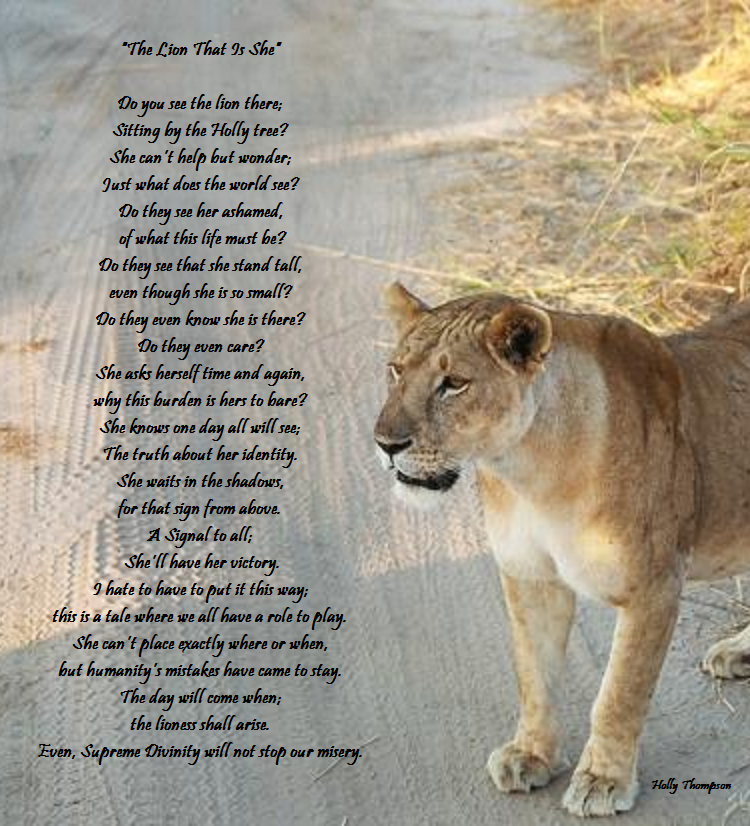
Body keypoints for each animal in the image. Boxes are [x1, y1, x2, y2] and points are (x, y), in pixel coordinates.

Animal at [373, 282, 750, 817]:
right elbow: (535, 677)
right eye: (396, 370)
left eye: (454, 383)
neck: (529, 471)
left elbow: (618, 695)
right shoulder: (530, 577)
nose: (385, 443)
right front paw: (531, 755)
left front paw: (602, 781)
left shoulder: (653, 587)